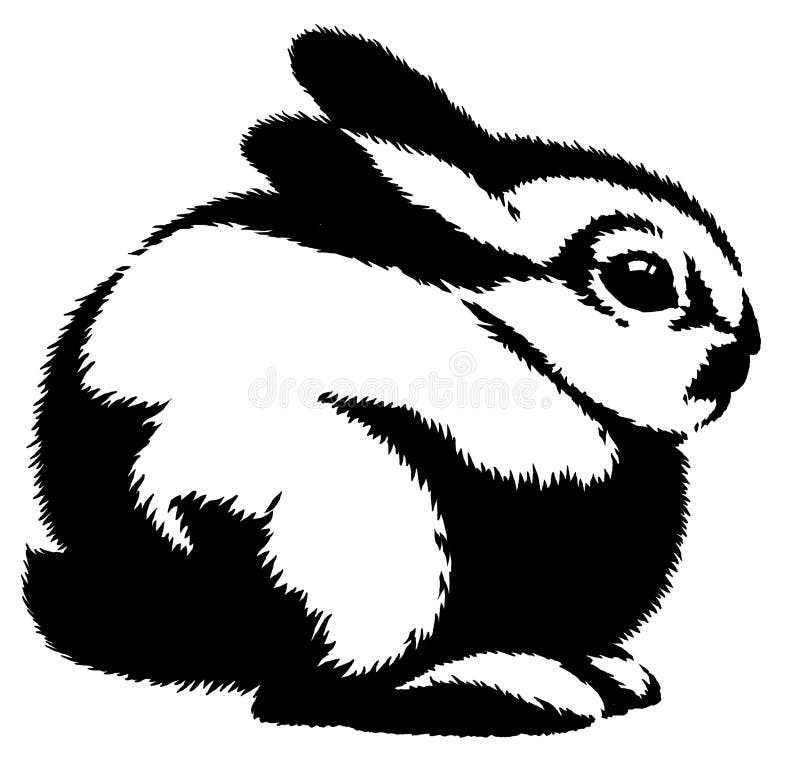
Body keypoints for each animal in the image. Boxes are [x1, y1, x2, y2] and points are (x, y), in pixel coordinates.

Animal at [24, 27, 760, 736]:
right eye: (640, 278)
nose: (747, 351)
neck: (508, 329)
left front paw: (613, 669)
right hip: (363, 514)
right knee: (310, 692)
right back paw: (512, 690)